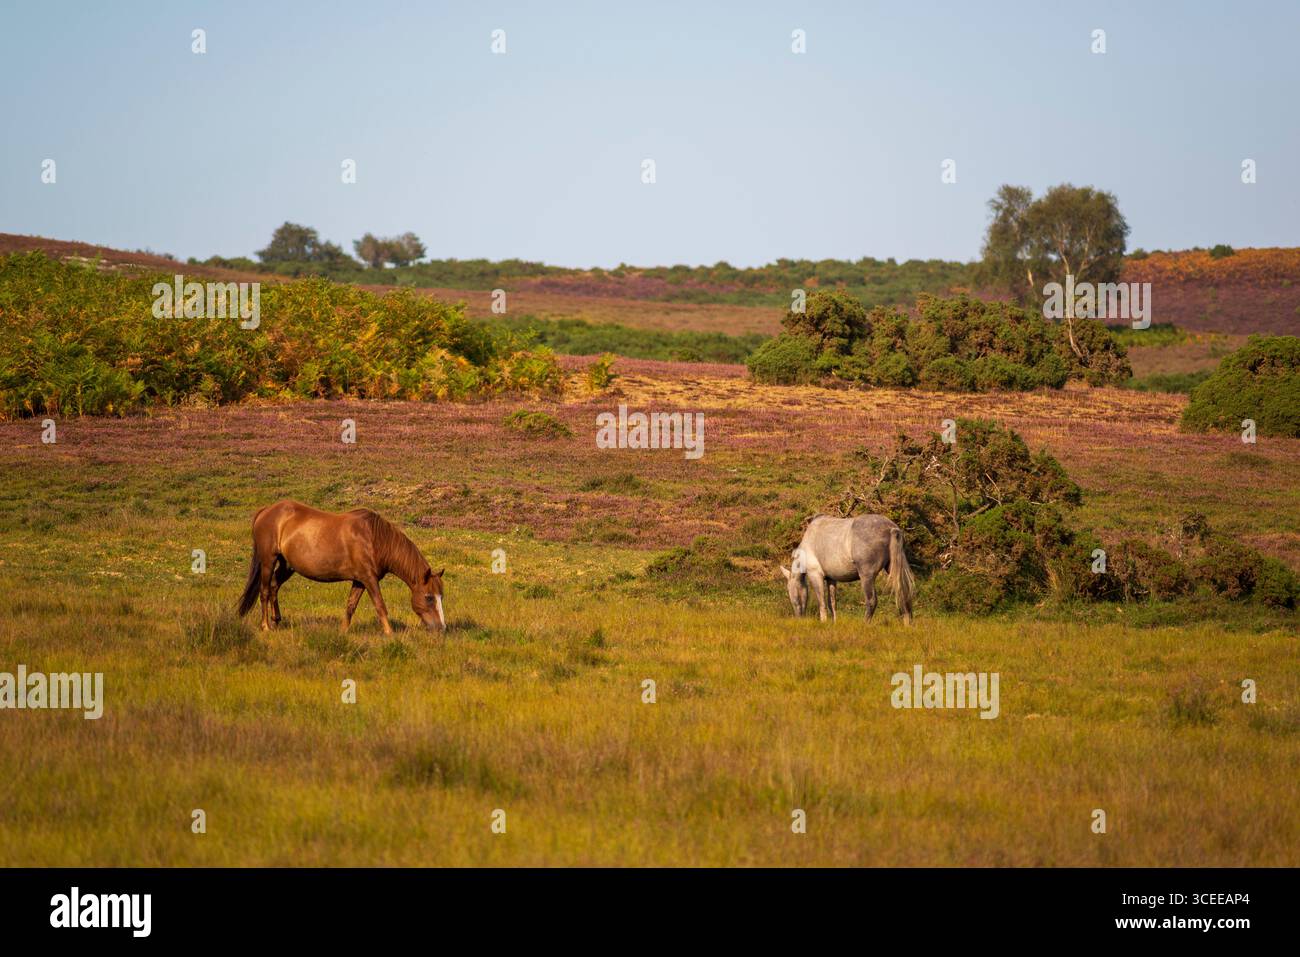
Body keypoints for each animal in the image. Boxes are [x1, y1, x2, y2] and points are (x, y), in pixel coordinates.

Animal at [236, 500, 445, 634]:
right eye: (428, 597)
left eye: (441, 596)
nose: (441, 628)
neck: (375, 538)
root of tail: (266, 511)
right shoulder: (369, 579)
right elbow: (380, 605)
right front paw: (389, 633)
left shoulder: (359, 581)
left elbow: (350, 606)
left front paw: (343, 632)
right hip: (268, 561)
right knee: (264, 590)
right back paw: (265, 626)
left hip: (287, 566)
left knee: (273, 587)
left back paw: (277, 620)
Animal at [779, 514, 914, 625]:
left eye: (790, 592)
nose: (799, 618)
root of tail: (891, 528)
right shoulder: (831, 579)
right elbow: (832, 603)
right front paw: (833, 623)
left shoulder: (815, 575)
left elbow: (822, 602)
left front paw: (823, 622)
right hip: (892, 568)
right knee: (903, 594)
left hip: (867, 576)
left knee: (871, 600)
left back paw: (865, 624)